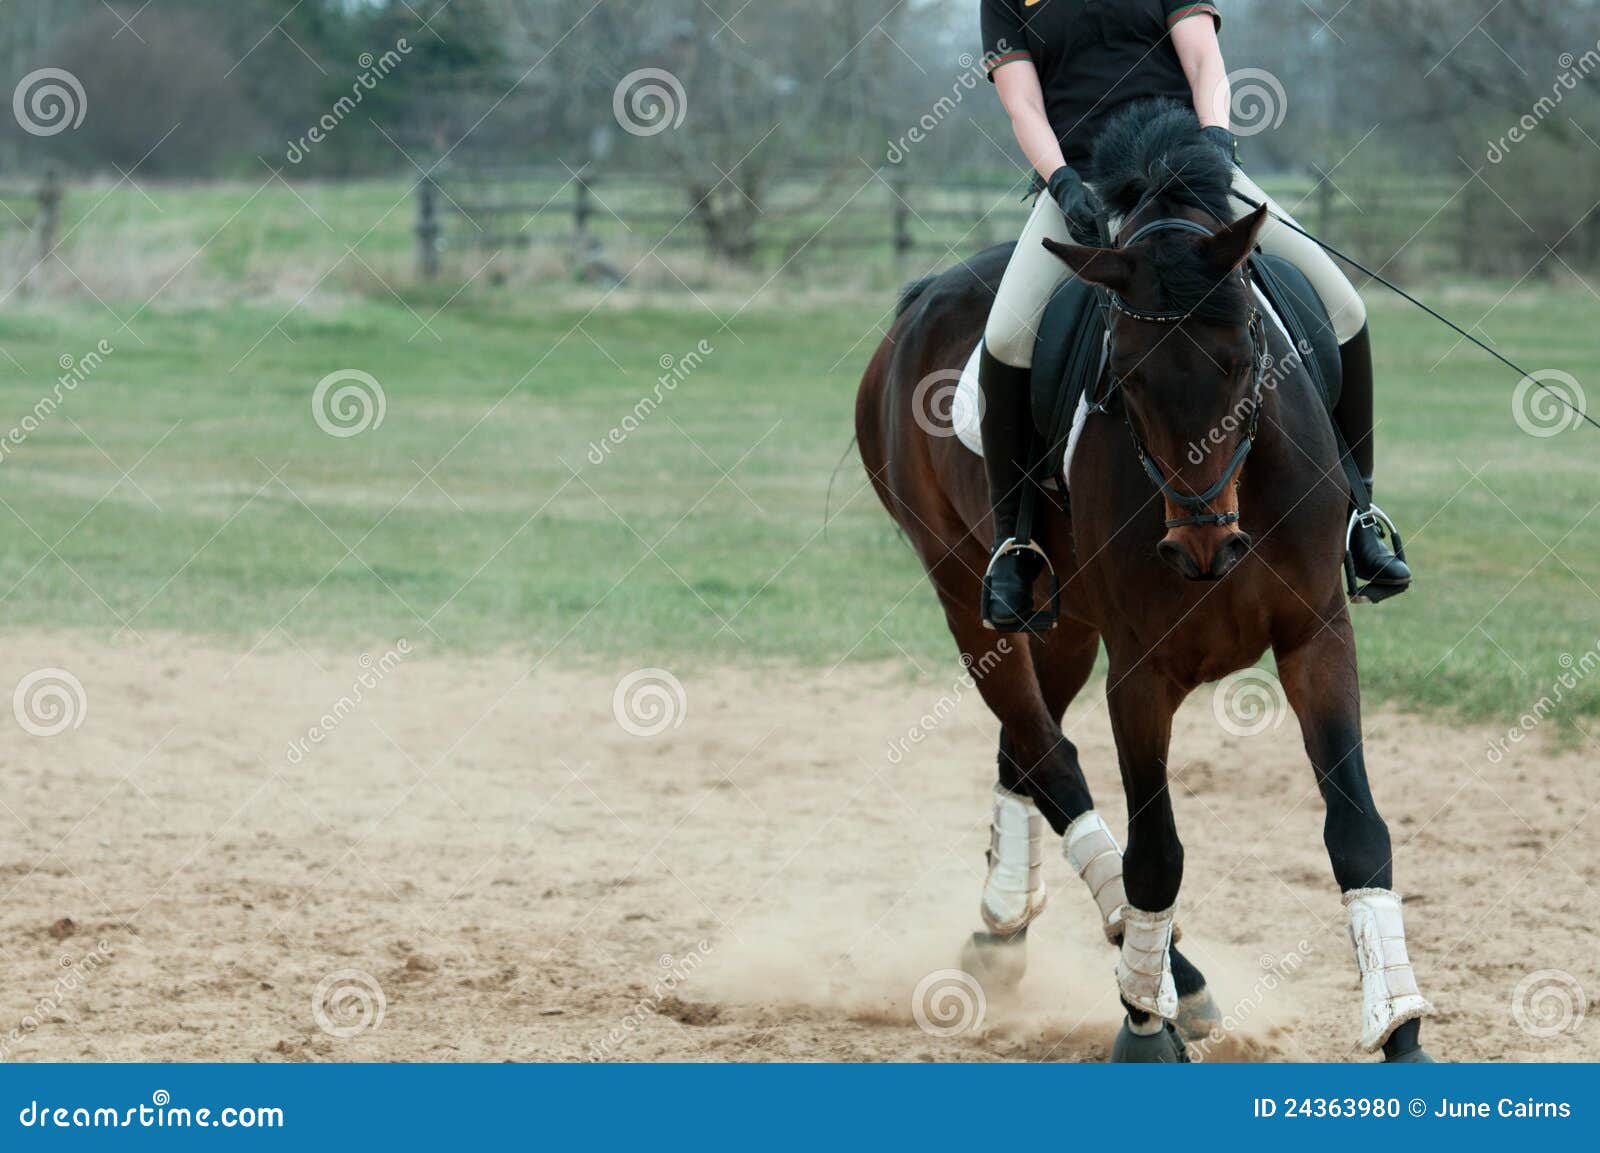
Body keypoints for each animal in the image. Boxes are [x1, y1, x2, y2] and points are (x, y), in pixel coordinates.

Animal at [854, 104, 1434, 1062]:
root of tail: (924, 298)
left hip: (1061, 623)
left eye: (1247, 356)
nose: (1204, 547)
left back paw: (1007, 928)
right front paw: (1142, 1022)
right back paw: (1164, 976)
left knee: (1024, 753)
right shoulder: (1140, 671)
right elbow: (1154, 851)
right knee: (1049, 757)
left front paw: (1401, 1029)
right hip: (968, 593)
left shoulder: (1316, 634)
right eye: (1122, 375)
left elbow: (1356, 826)